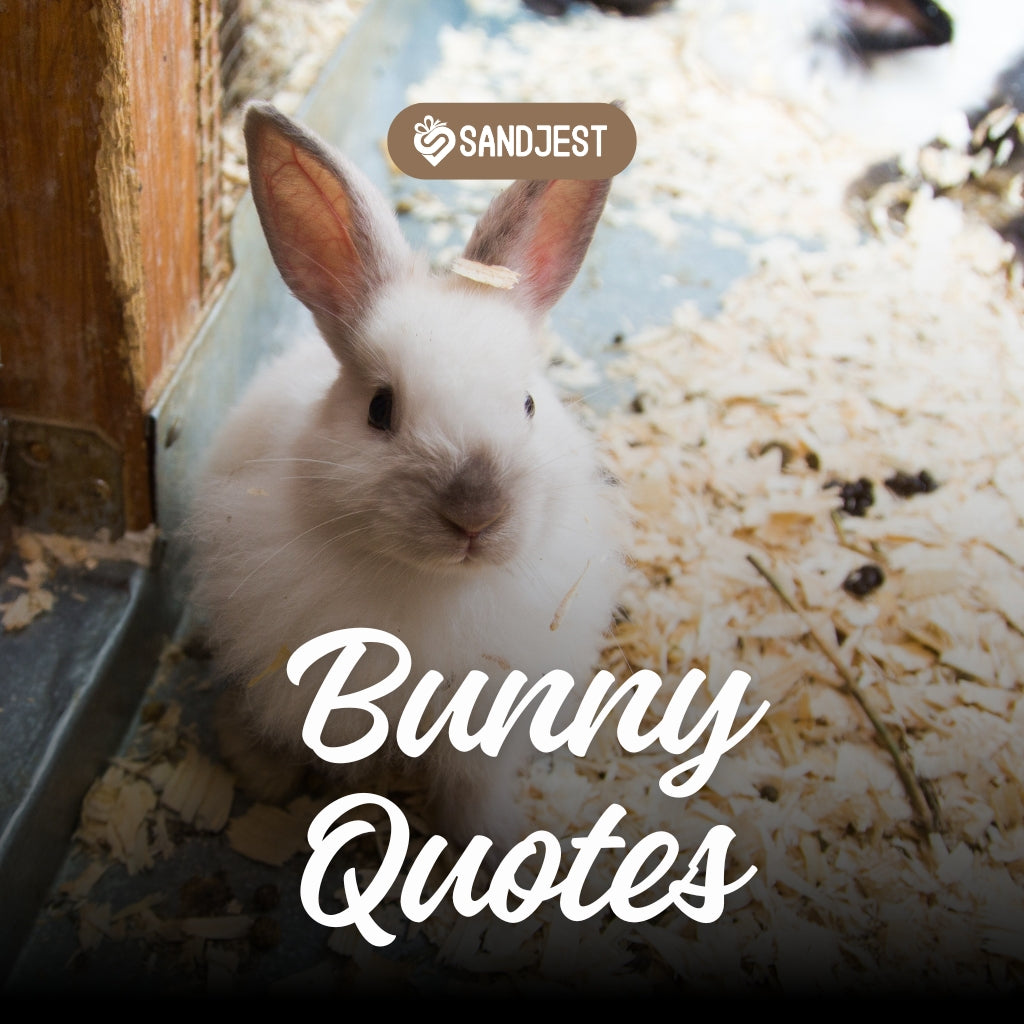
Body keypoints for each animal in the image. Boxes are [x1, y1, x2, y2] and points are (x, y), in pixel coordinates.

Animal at [190, 102, 627, 856]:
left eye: (528, 404)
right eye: (380, 409)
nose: (475, 514)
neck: (432, 588)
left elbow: (472, 790)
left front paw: (493, 842)